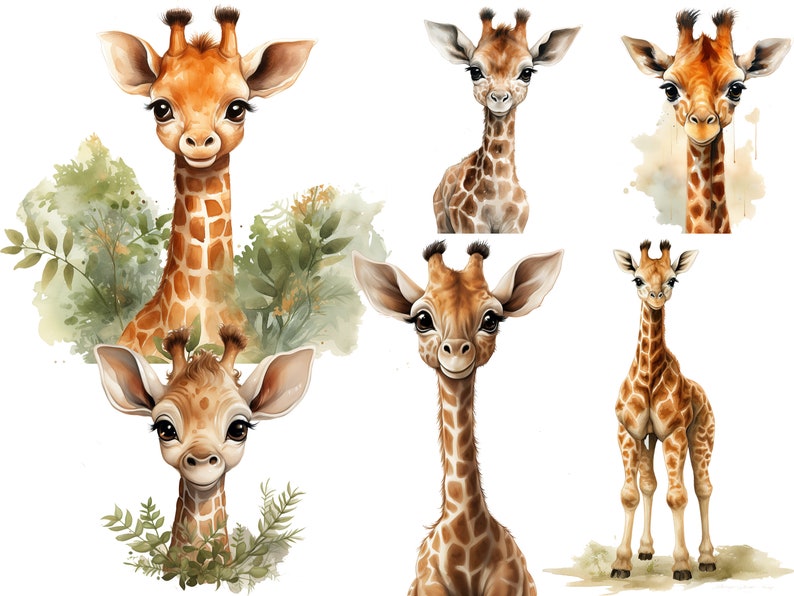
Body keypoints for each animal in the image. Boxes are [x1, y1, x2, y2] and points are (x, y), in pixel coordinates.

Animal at [425, 9, 579, 234]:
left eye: (527, 73)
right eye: (475, 71)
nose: (499, 98)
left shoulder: (515, 227)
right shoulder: (468, 225)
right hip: (442, 222)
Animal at [611, 240, 716, 581]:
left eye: (672, 280)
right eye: (637, 279)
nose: (656, 298)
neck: (648, 376)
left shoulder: (674, 433)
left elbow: (678, 496)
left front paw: (682, 565)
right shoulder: (629, 433)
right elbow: (631, 493)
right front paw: (621, 563)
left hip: (699, 437)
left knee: (701, 487)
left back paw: (706, 558)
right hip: (653, 440)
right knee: (651, 484)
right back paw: (645, 550)